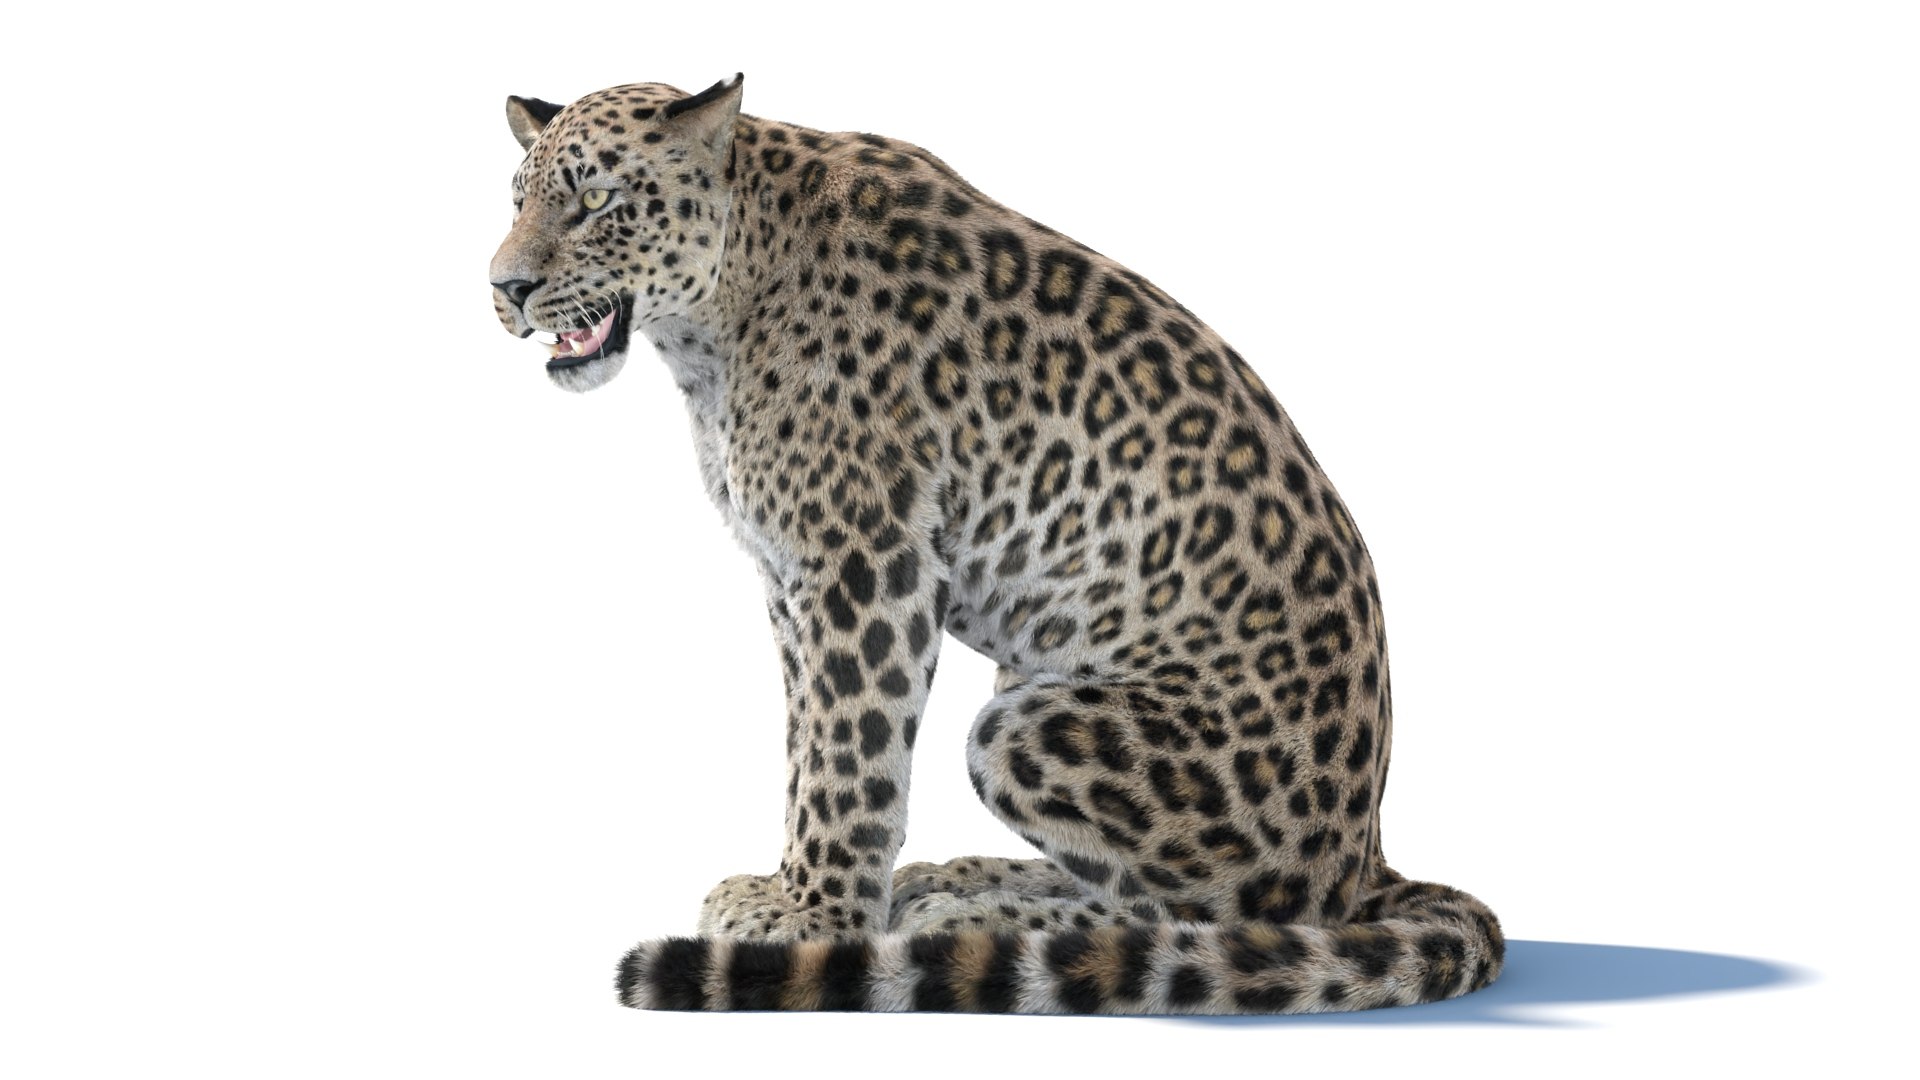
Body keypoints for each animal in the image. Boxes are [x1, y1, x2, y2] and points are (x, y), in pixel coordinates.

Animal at [489, 74, 1504, 1015]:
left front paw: (817, 920)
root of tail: (1368, 854)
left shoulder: (865, 561)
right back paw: (959, 878)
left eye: (595, 199)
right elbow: (803, 743)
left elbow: (849, 754)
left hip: (1030, 728)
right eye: (516, 201)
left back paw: (972, 917)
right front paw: (796, 890)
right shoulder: (788, 577)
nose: (506, 288)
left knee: (1220, 922)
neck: (710, 326)